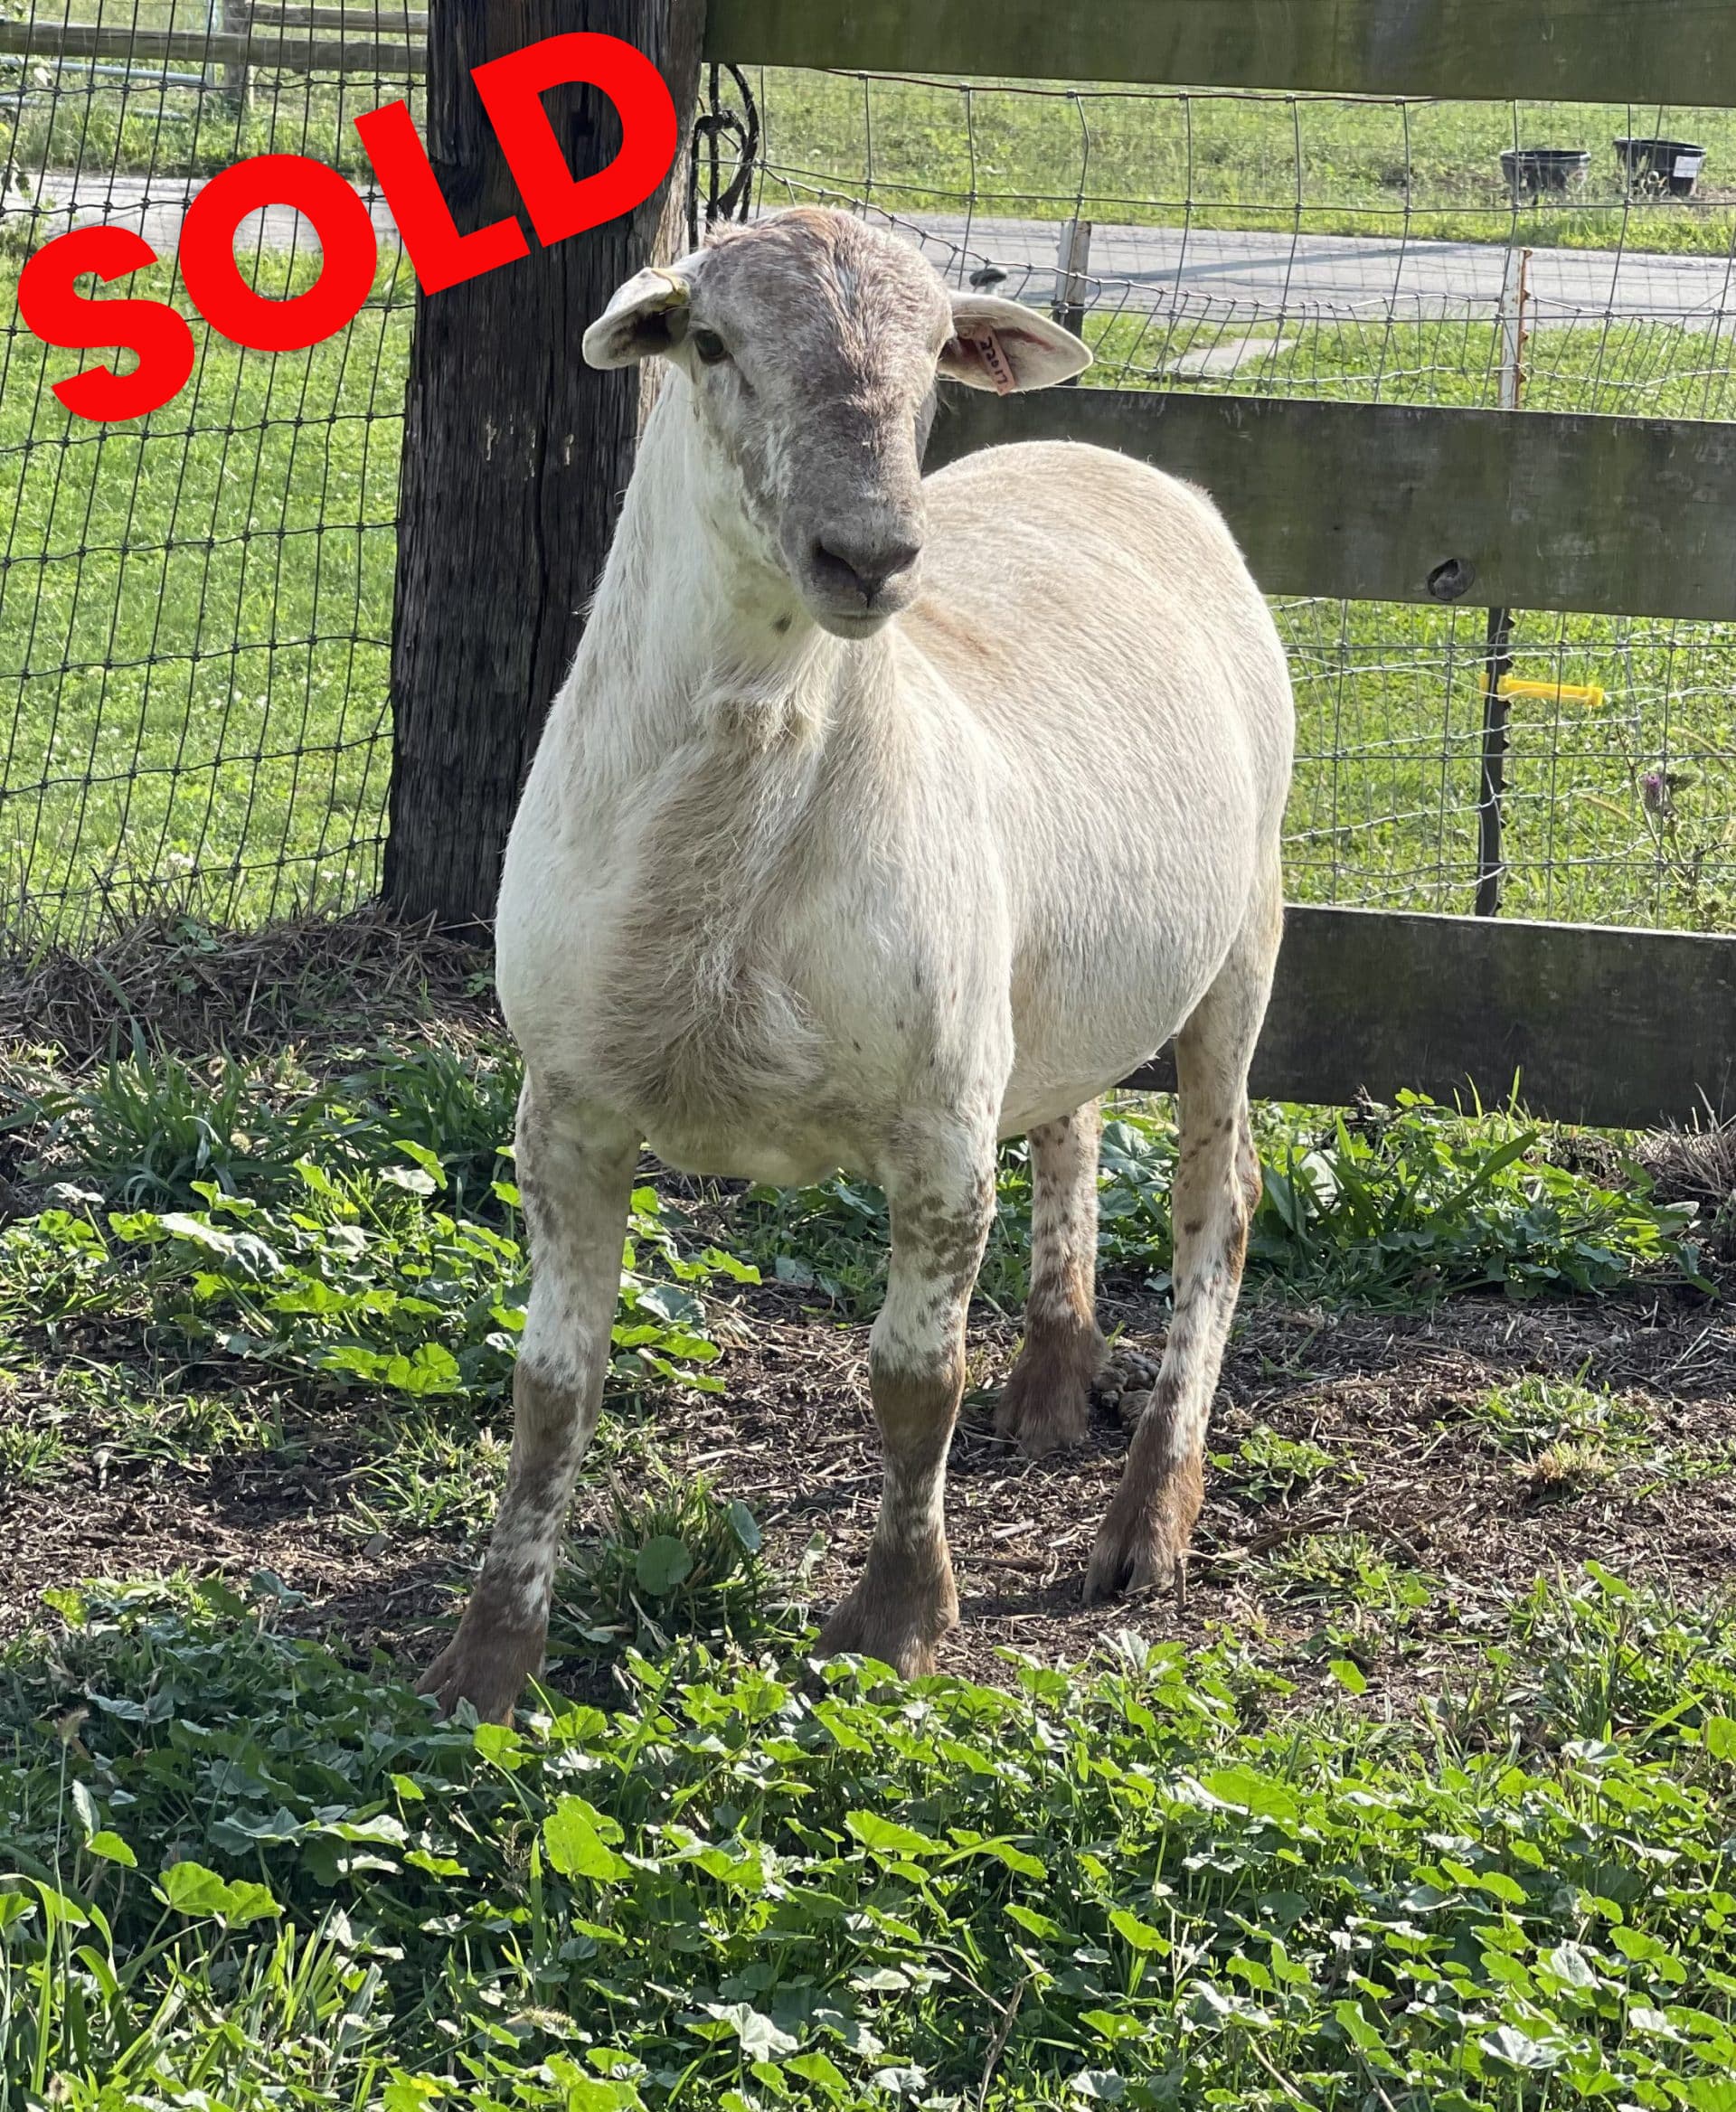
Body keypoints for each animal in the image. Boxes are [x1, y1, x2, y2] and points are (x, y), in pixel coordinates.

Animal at [419, 206, 1295, 1723]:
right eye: (708, 340)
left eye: (936, 352)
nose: (875, 556)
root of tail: (1110, 456)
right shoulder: (563, 1105)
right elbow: (549, 1386)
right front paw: (487, 1662)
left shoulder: (937, 1122)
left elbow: (910, 1379)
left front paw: (895, 1623)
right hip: (1054, 971)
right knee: (1071, 1123)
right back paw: (1052, 1380)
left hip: (1244, 932)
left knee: (1217, 1203)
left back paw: (1147, 1520)